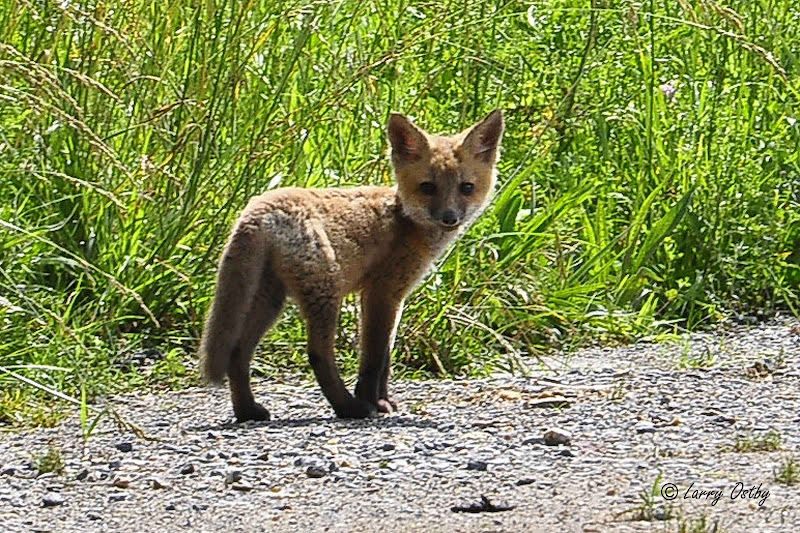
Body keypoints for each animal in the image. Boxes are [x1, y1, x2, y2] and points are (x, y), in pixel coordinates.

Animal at [199, 109, 504, 421]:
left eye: (466, 188)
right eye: (428, 187)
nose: (450, 218)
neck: (404, 220)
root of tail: (258, 209)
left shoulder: (389, 298)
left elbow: (385, 357)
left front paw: (383, 400)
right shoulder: (382, 293)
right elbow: (373, 358)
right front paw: (372, 401)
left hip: (269, 300)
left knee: (238, 353)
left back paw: (247, 410)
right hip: (325, 293)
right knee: (317, 354)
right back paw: (348, 407)